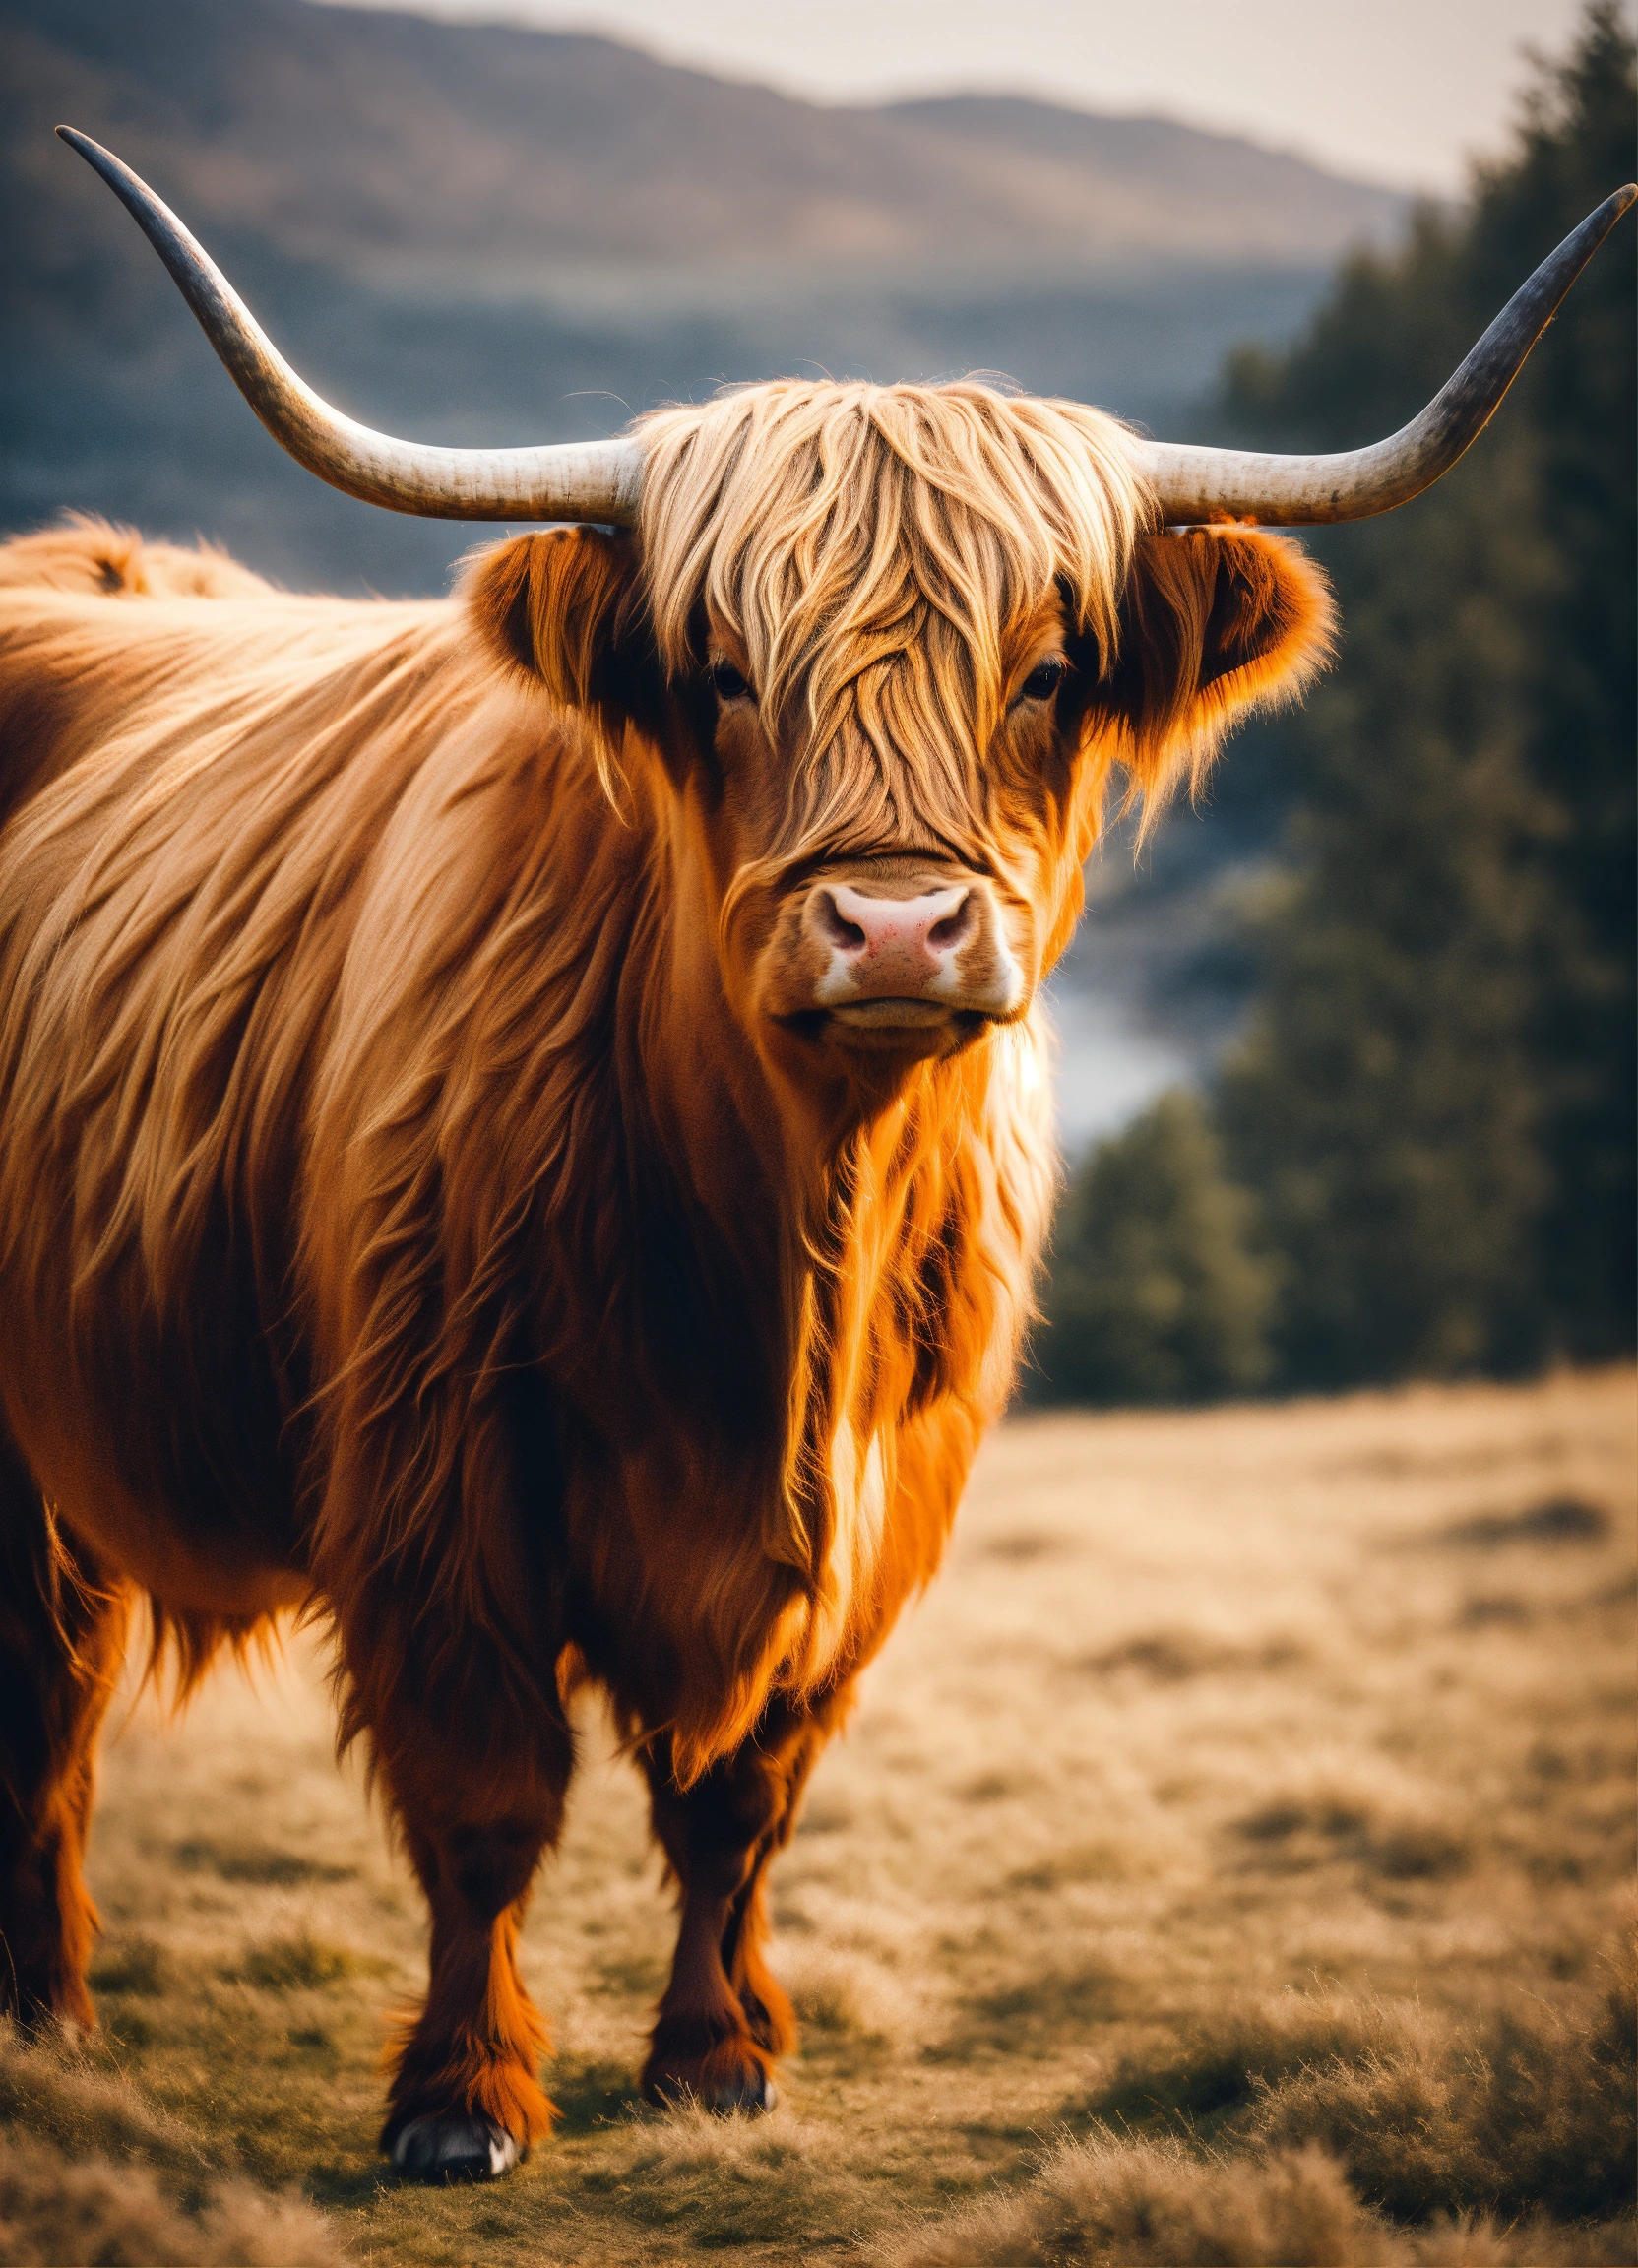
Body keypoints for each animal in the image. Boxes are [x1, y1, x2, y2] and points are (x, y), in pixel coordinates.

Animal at [0, 131, 1630, 2181]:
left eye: (1048, 669)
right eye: (717, 668)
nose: (897, 927)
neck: (777, 1243)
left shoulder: (875, 1508)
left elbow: (735, 1801)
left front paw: (713, 2057)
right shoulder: (437, 1469)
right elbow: (484, 1798)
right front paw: (462, 2100)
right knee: (42, 1693)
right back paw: (47, 2021)